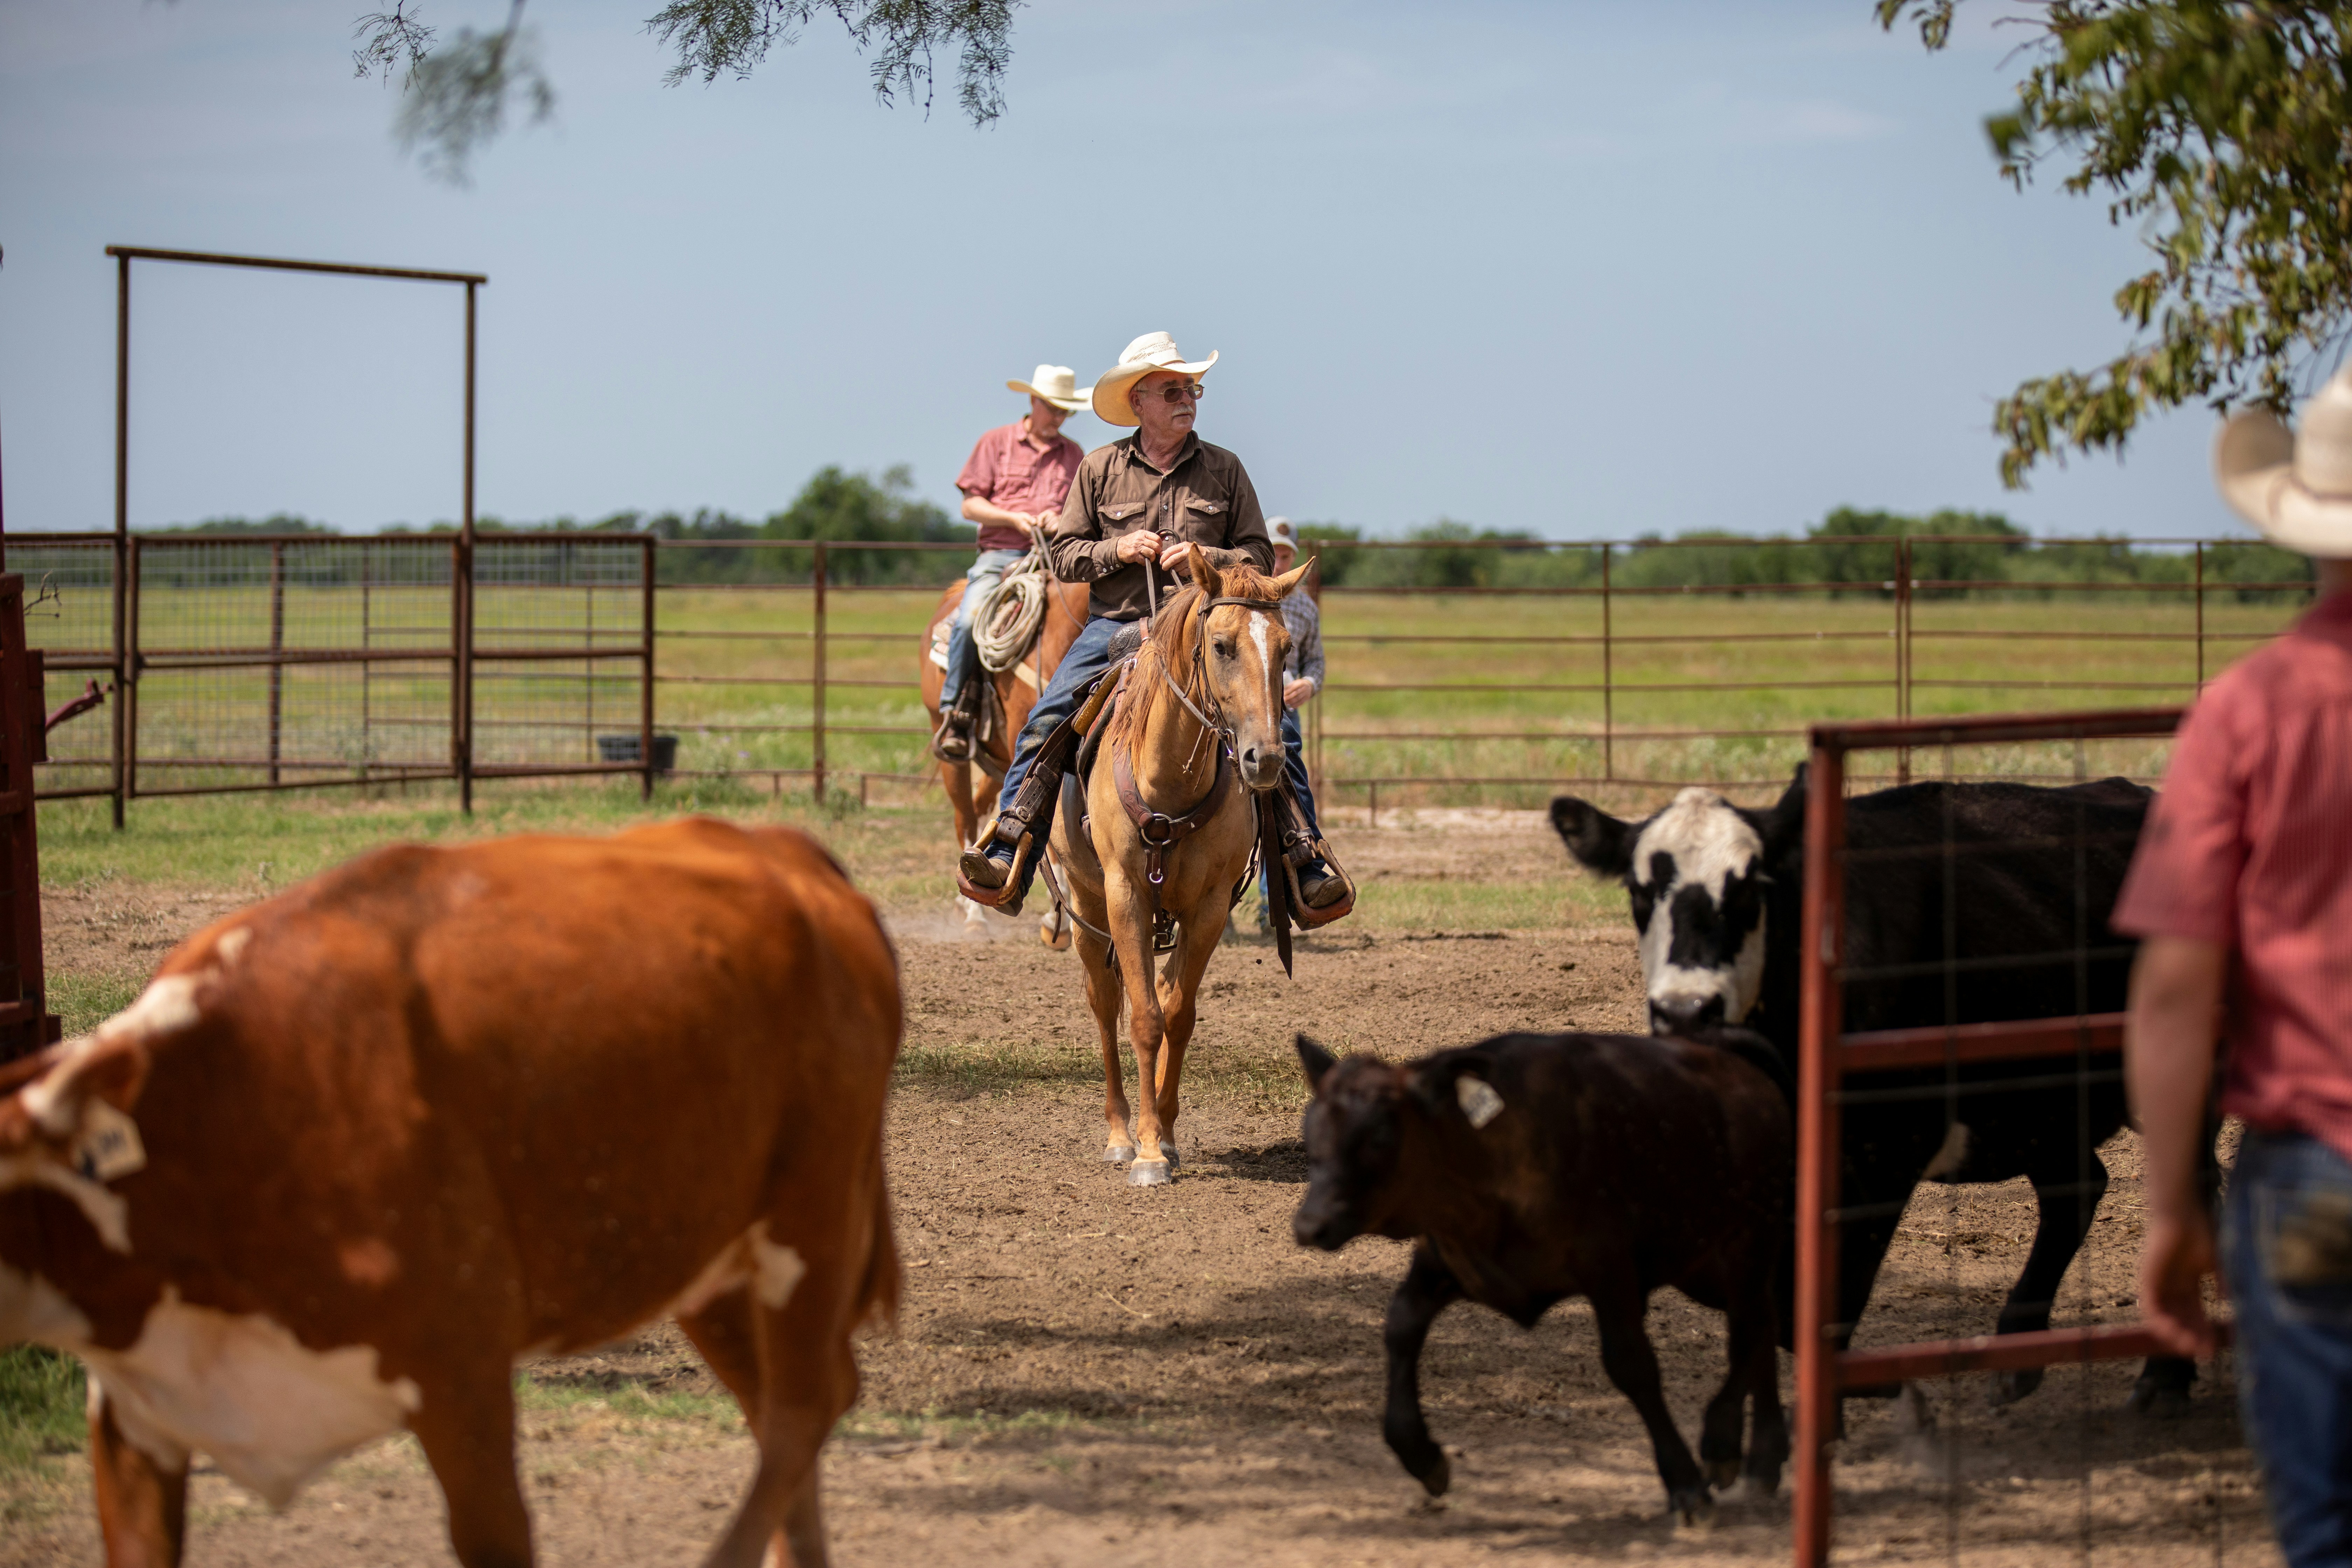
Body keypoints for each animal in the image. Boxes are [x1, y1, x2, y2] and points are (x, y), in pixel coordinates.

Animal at [919, 563, 1090, 942]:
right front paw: (1058, 921)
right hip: (951, 752)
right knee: (967, 819)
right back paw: (974, 913)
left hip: (997, 761)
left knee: (983, 809)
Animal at [1049, 555, 1313, 1186]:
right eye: (1221, 646)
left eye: (1287, 649)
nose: (1265, 758)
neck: (1169, 779)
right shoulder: (1125, 895)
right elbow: (1144, 1018)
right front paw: (1146, 1153)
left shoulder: (1209, 906)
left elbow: (1178, 1015)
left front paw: (1165, 1138)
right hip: (1088, 904)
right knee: (1105, 1004)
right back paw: (1120, 1133)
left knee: (1163, 992)